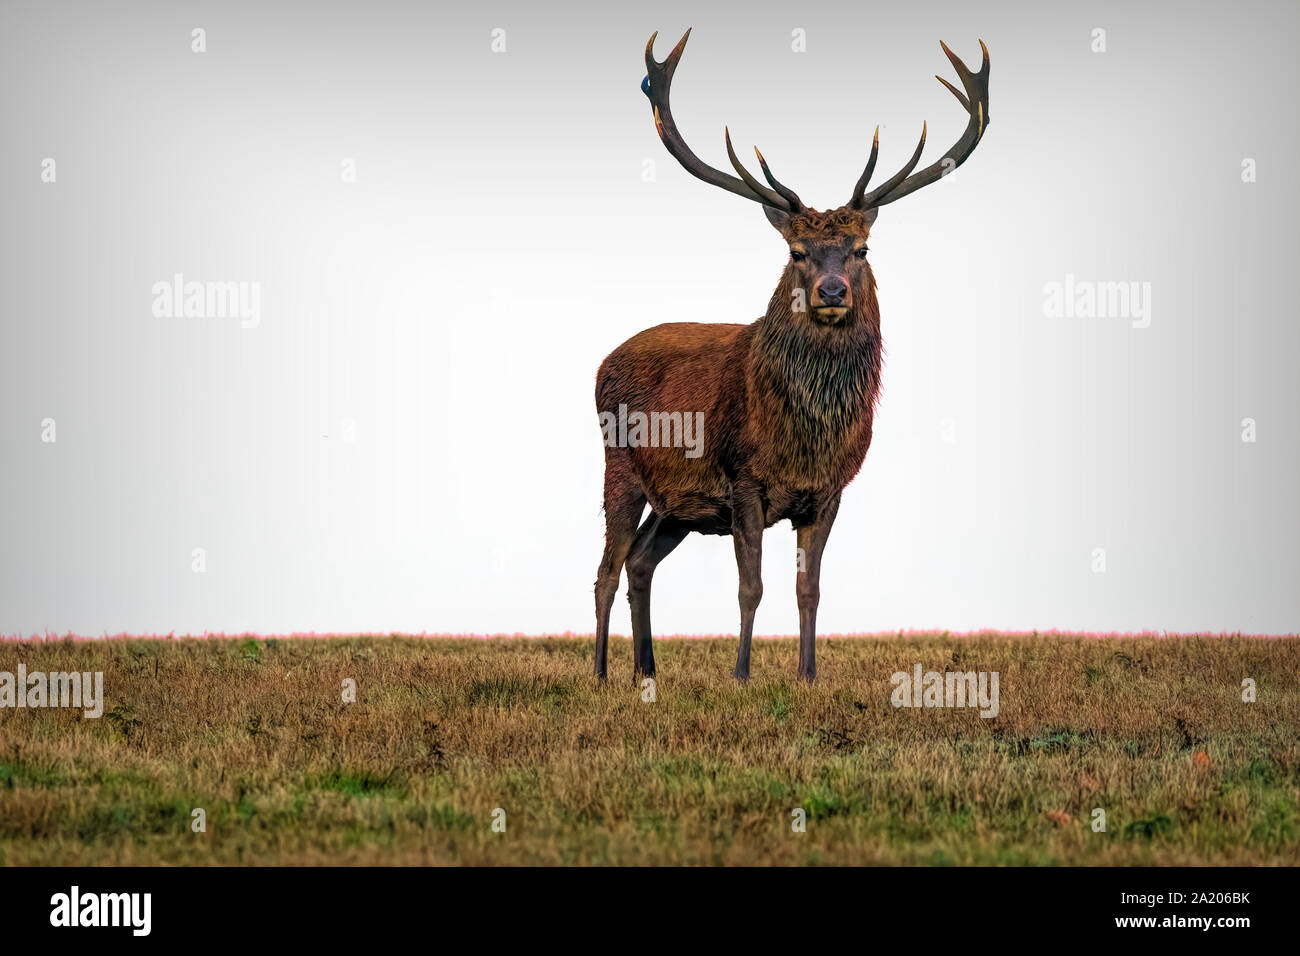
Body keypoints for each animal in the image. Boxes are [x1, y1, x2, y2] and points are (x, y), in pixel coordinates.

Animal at [593, 29, 991, 683]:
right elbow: (750, 587)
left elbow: (811, 590)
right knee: (606, 567)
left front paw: (807, 676)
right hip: (619, 465)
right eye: (796, 251)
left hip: (678, 505)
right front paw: (740, 675)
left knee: (640, 562)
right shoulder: (742, 481)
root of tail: (602, 361)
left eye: (862, 247)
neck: (802, 436)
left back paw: (646, 671)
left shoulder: (829, 491)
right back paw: (602, 674)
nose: (832, 291)